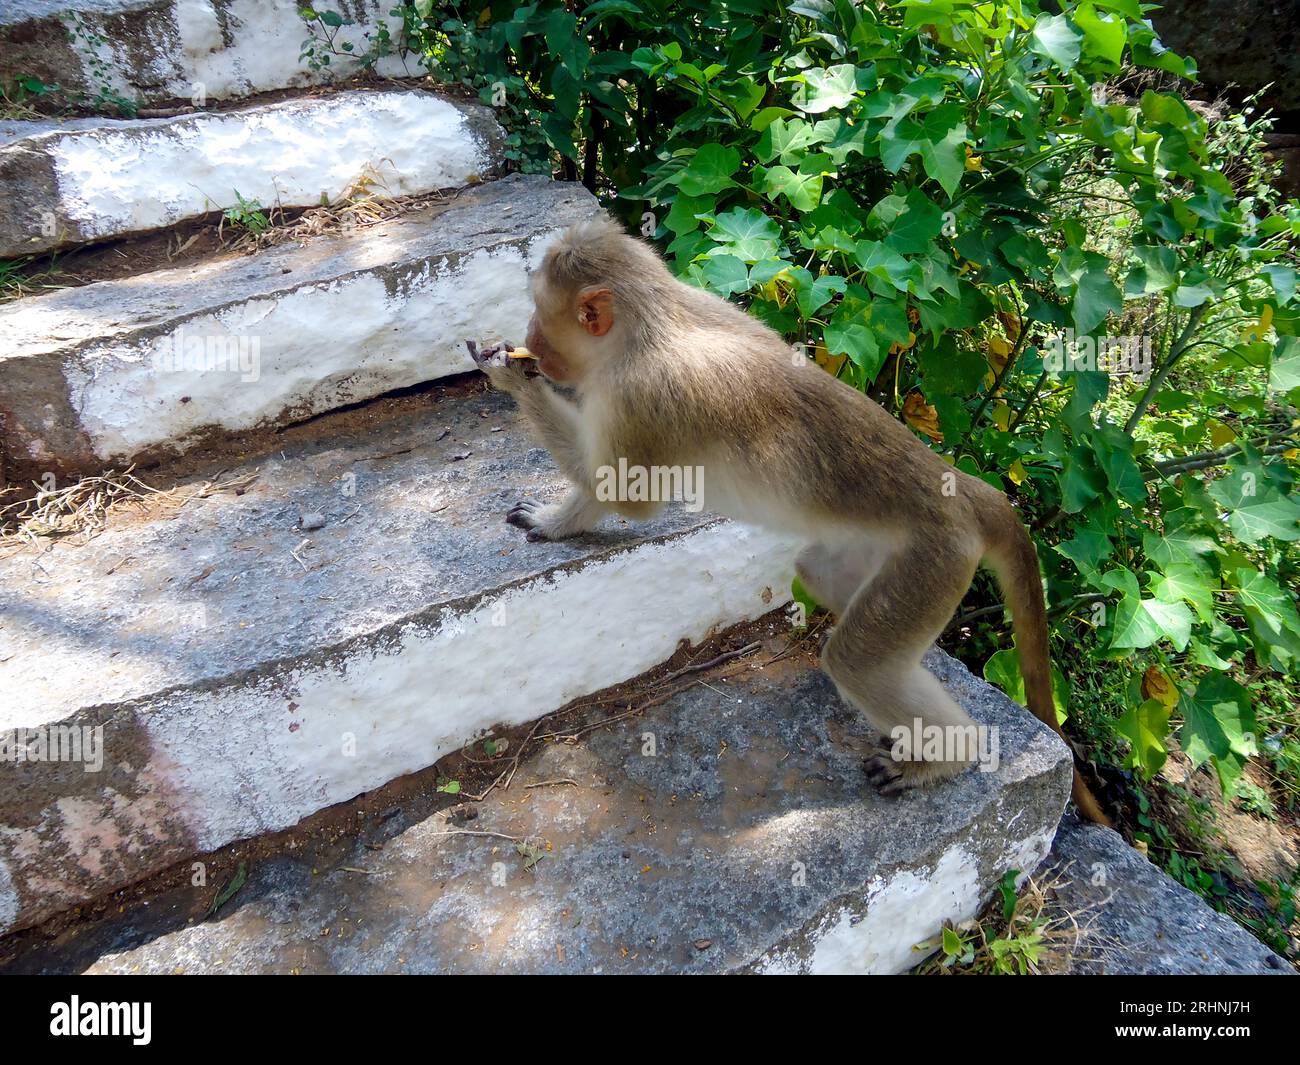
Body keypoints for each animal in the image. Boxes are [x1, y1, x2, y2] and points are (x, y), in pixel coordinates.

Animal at [467, 215, 1110, 826]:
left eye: (539, 317)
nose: (528, 340)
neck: (650, 325)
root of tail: (964, 490)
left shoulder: (639, 399)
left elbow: (624, 494)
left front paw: (528, 430)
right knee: (826, 580)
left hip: (937, 558)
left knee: (858, 659)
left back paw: (947, 756)